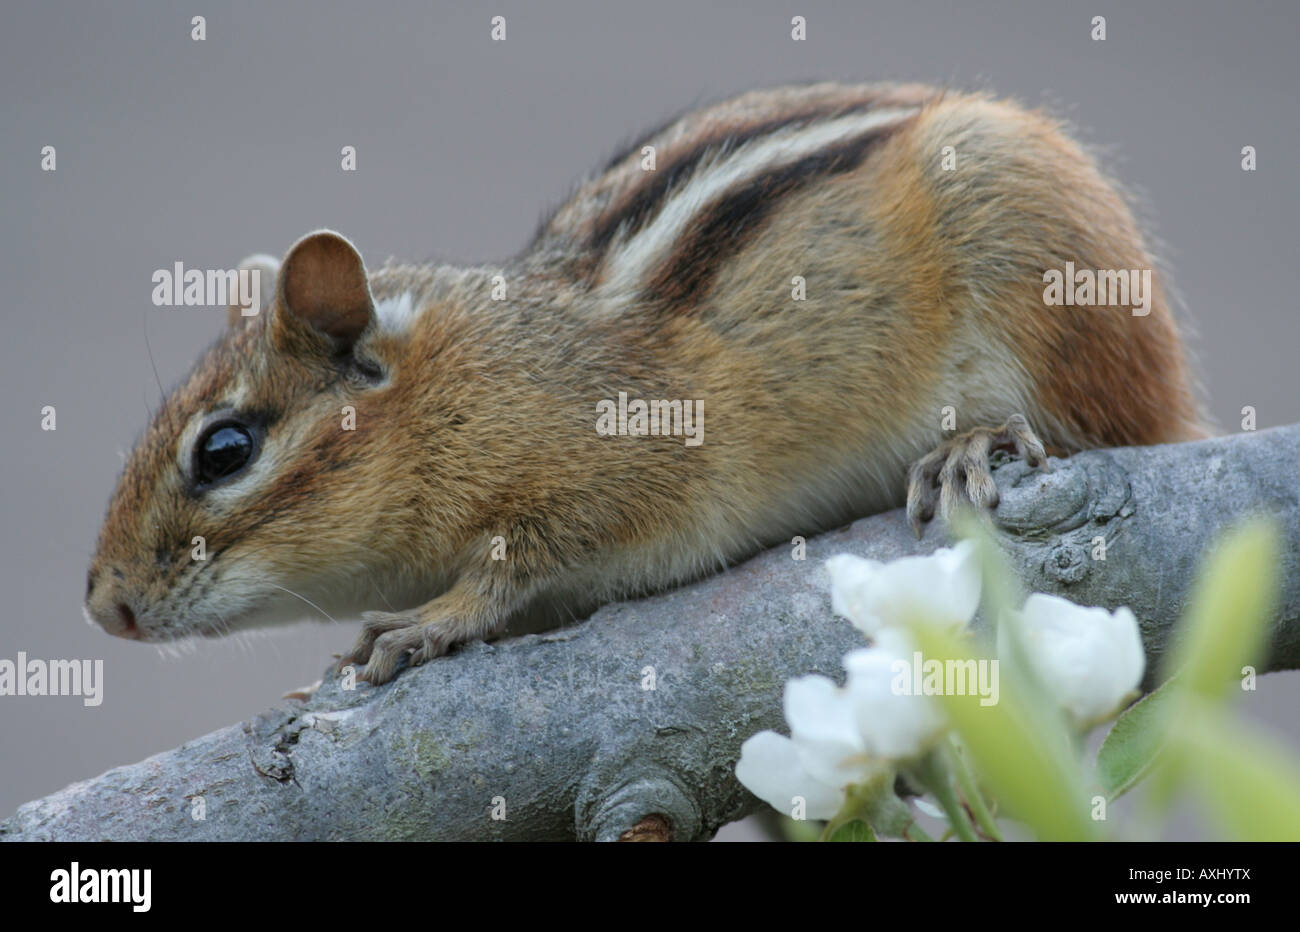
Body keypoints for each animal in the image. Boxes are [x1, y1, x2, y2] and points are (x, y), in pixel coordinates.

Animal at [84, 82, 1207, 685]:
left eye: (224, 449)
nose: (104, 608)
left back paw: (972, 442)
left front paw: (432, 619)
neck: (468, 377)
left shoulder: (625, 464)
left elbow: (525, 553)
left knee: (1099, 424)